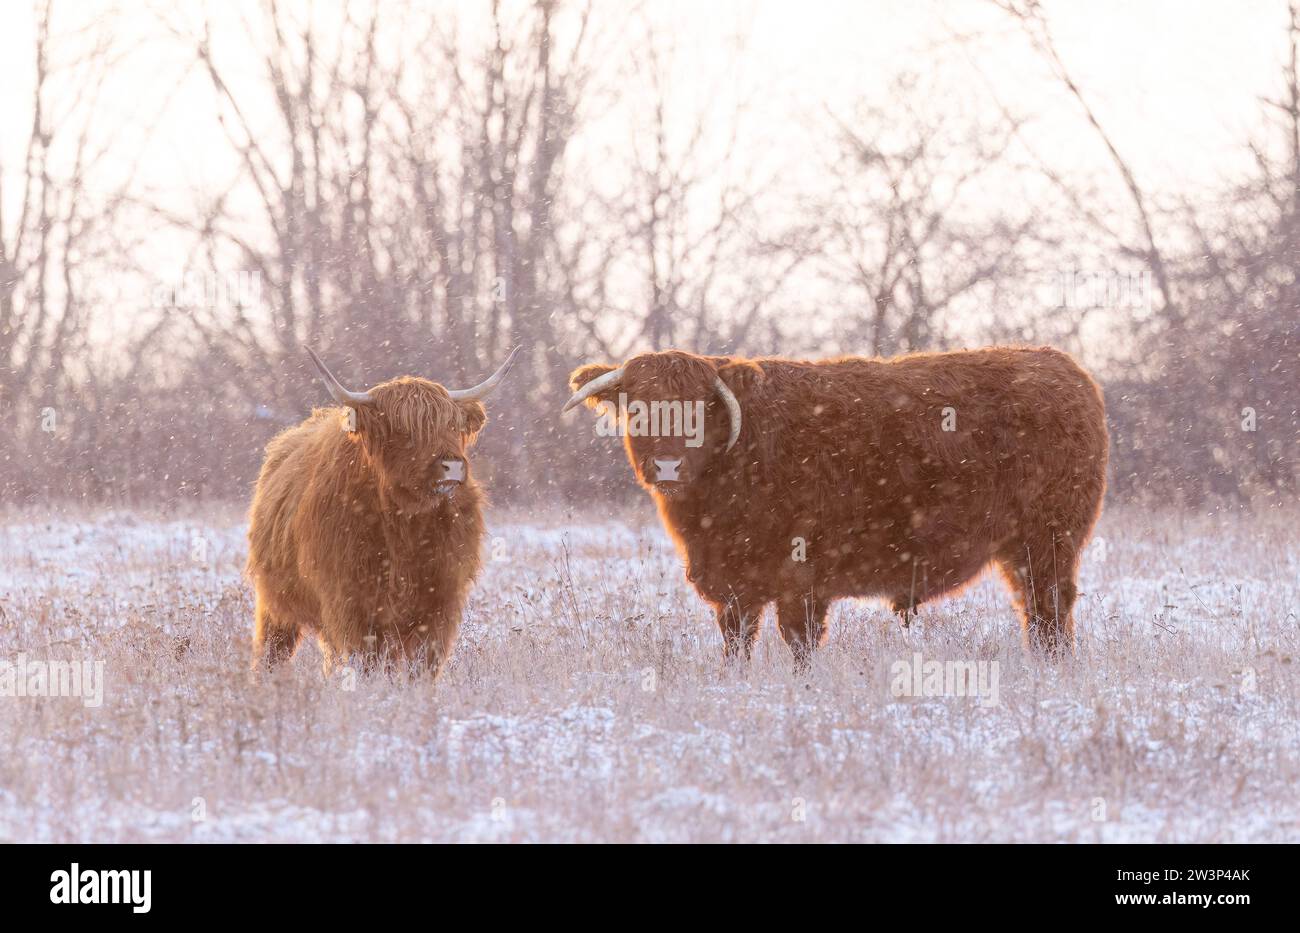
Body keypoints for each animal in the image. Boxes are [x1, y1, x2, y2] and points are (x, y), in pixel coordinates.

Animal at [246, 346, 521, 676]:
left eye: (452, 425)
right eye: (405, 429)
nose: (452, 466)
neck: (407, 526)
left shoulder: (440, 603)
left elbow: (423, 665)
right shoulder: (353, 606)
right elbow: (370, 663)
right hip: (275, 606)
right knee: (273, 651)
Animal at [562, 347, 1108, 664]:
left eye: (698, 410)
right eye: (638, 408)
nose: (667, 466)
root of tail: (1068, 368)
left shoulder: (800, 576)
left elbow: (799, 642)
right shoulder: (734, 585)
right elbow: (736, 643)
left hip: (1050, 540)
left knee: (1051, 610)